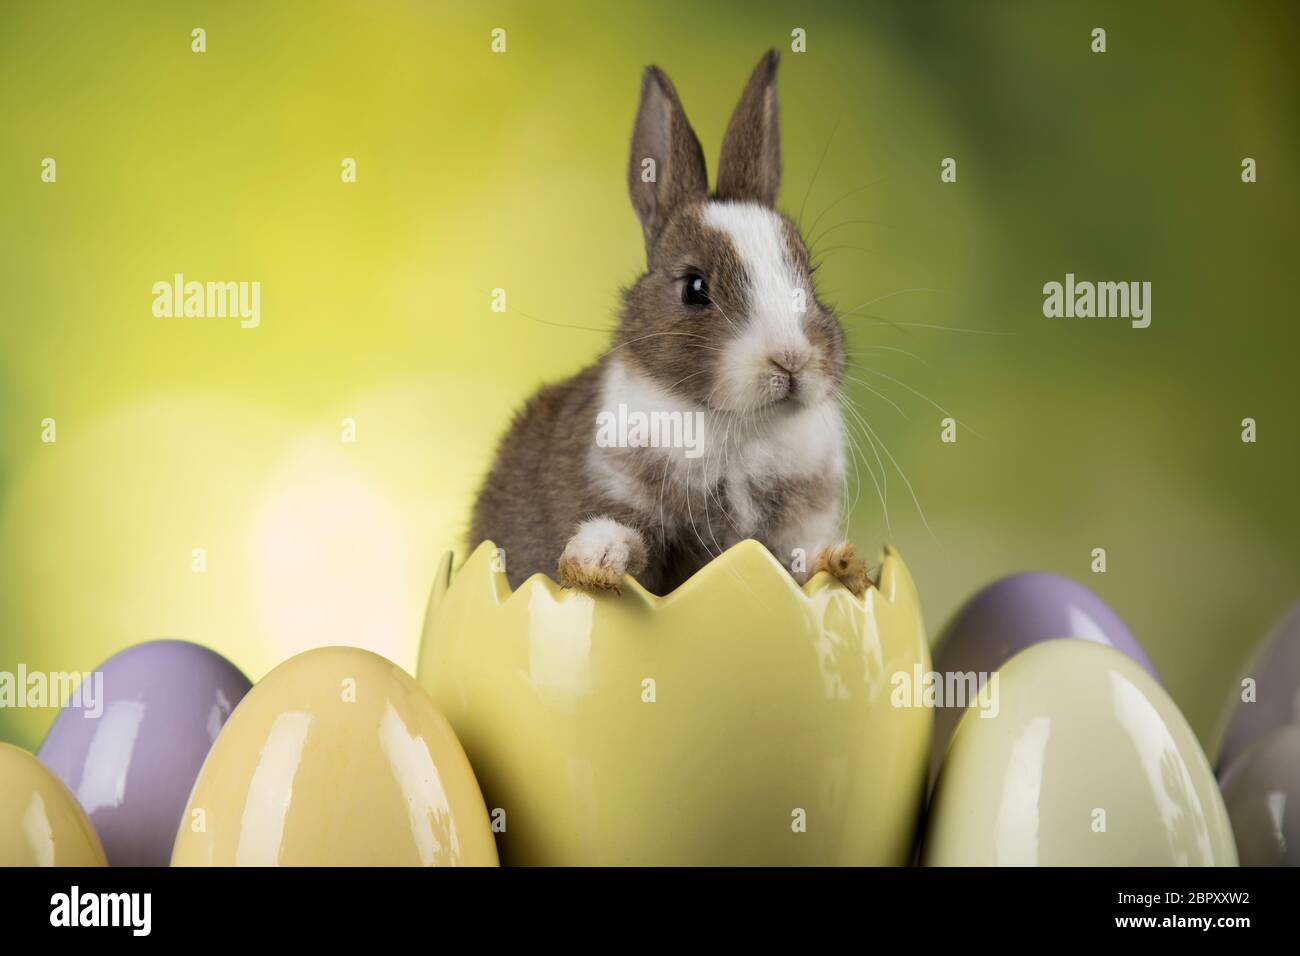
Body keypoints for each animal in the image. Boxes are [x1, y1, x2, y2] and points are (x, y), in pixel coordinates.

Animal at [469, 49, 869, 598]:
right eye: (694, 287)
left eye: (807, 275)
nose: (790, 360)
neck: (738, 427)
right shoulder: (623, 498)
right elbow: (634, 548)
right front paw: (594, 559)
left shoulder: (795, 530)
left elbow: (800, 563)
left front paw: (843, 562)